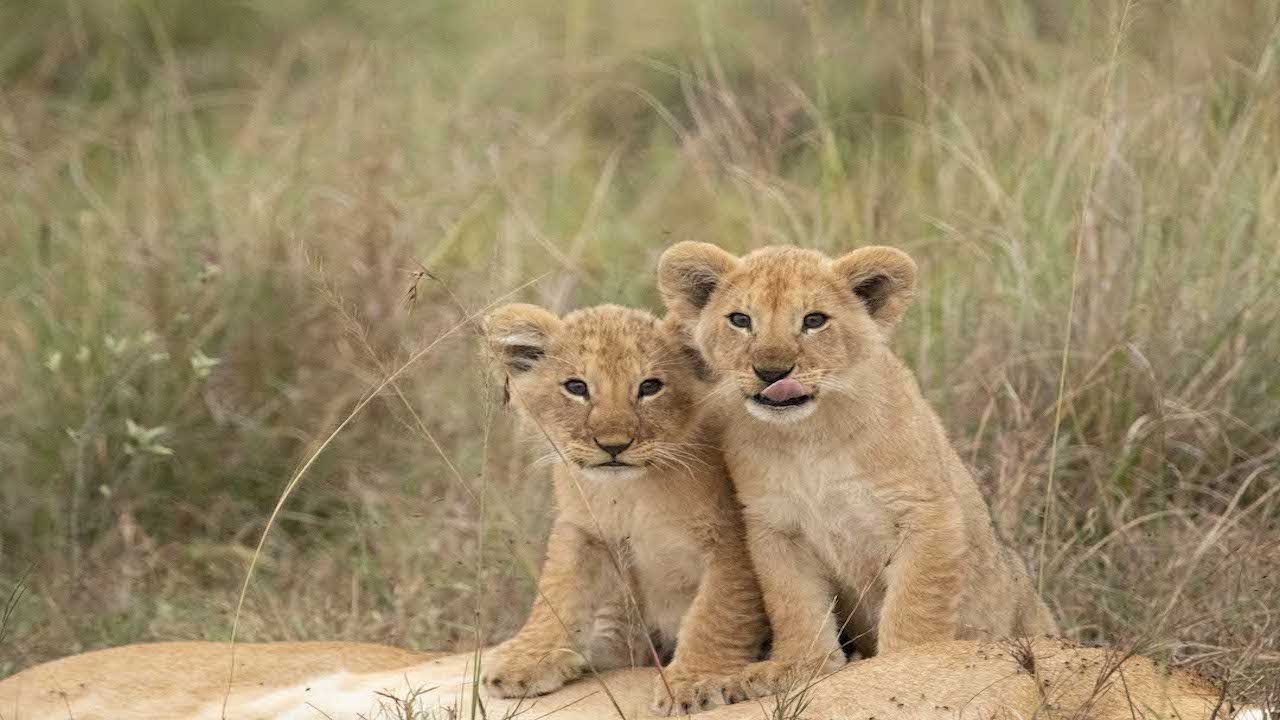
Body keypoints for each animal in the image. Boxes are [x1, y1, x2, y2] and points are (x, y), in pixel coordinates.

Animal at [477, 302, 768, 715]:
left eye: (649, 387)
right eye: (576, 387)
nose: (613, 445)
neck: (631, 491)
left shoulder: (731, 534)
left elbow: (717, 610)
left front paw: (696, 680)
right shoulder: (581, 528)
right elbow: (558, 589)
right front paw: (527, 659)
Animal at [657, 242, 1058, 698]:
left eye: (814, 320)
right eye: (740, 320)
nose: (772, 372)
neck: (806, 438)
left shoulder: (927, 512)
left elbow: (915, 601)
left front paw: (903, 664)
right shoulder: (773, 526)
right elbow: (794, 602)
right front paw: (798, 667)